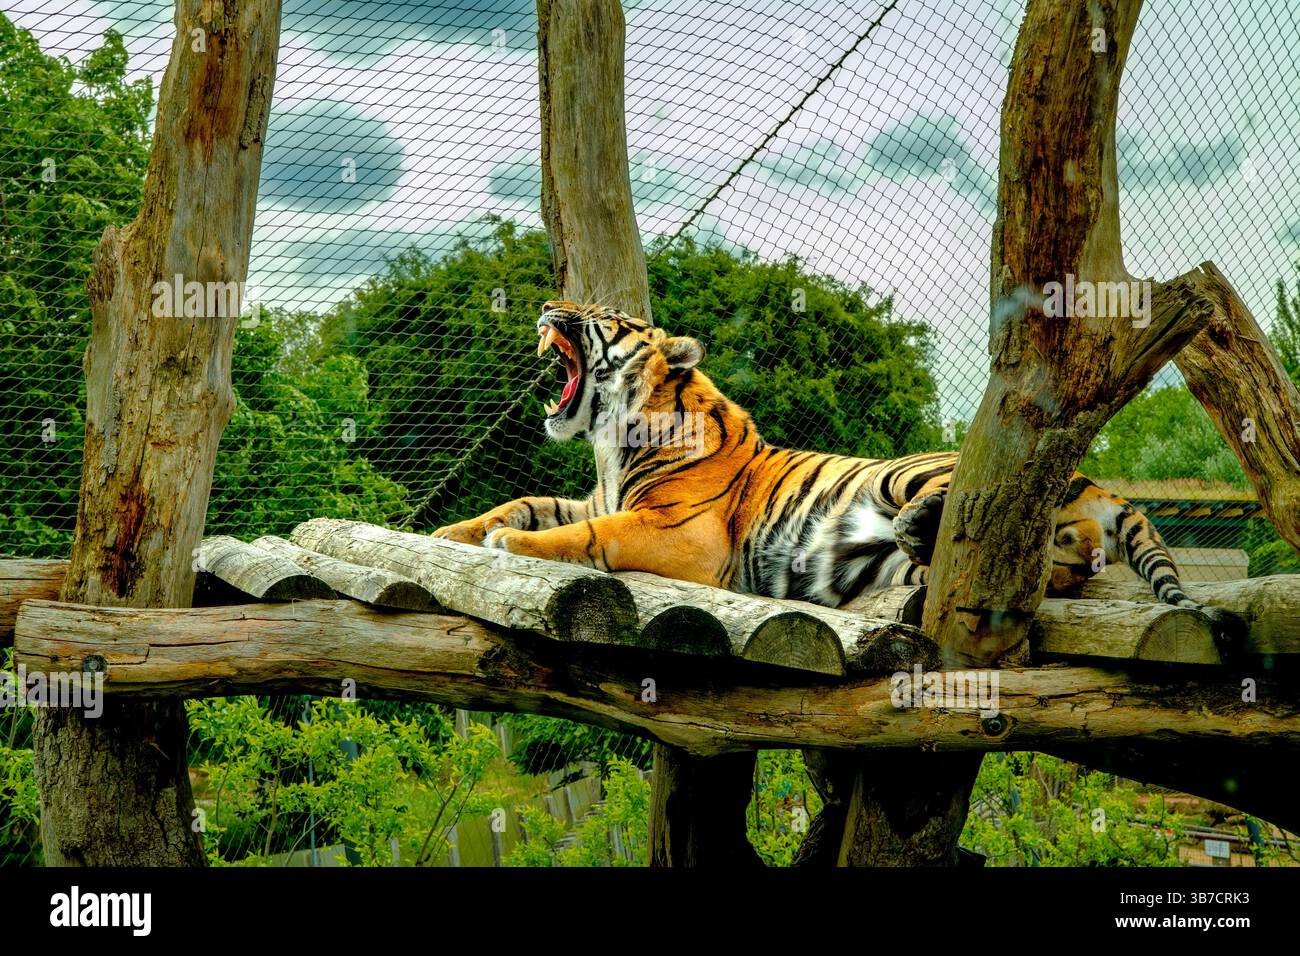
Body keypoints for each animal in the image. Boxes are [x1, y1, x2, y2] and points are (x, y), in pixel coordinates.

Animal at [433, 300, 1241, 642]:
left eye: (601, 313)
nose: (546, 302)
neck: (611, 440)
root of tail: (1092, 479)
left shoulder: (682, 534)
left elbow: (588, 537)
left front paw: (510, 548)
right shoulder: (591, 495)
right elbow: (526, 502)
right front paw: (448, 533)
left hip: (905, 475)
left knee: (1001, 525)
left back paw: (920, 524)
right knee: (1060, 558)